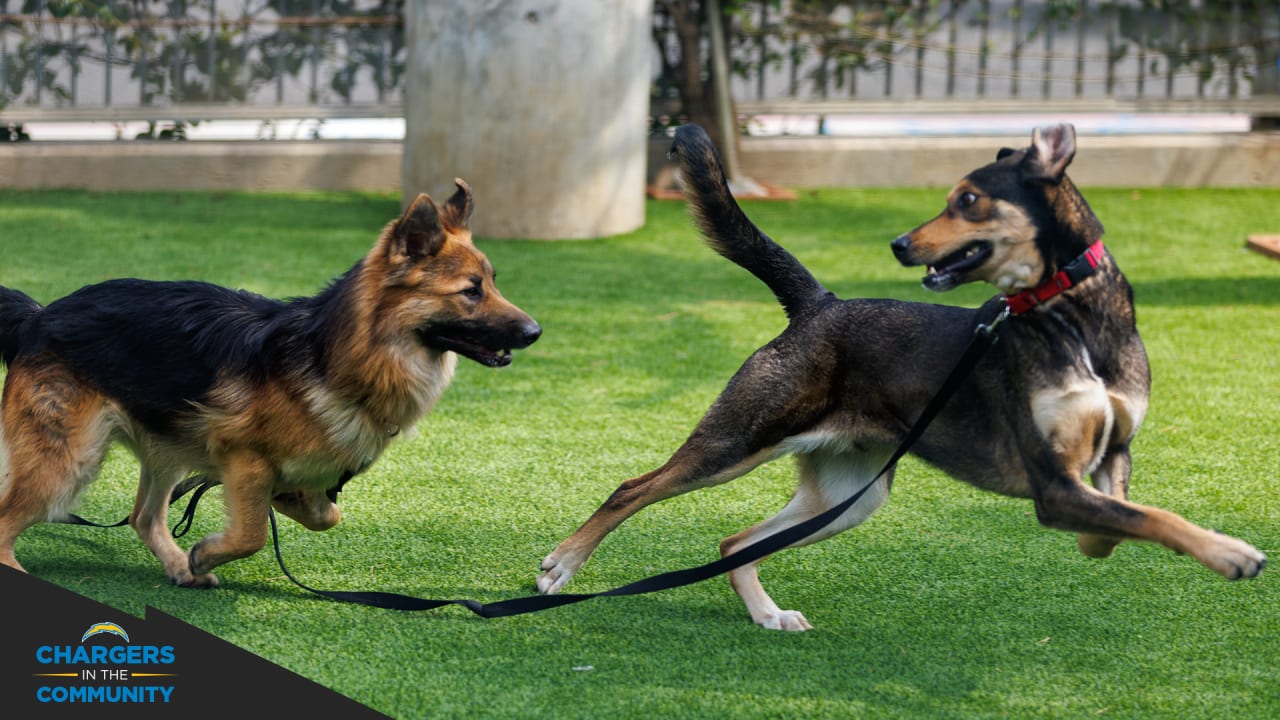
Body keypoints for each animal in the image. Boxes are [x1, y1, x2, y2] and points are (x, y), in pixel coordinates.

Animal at [0, 179, 540, 584]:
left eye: (493, 283)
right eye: (471, 291)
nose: (534, 331)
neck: (339, 359)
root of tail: (39, 316)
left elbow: (326, 515)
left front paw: (291, 502)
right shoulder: (243, 461)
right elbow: (253, 534)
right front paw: (211, 549)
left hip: (166, 447)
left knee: (144, 517)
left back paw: (178, 566)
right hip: (70, 458)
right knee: (8, 521)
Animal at [535, 122, 1264, 627]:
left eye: (967, 199)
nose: (899, 244)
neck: (1073, 318)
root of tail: (820, 304)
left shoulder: (1108, 461)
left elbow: (1119, 524)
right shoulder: (1053, 485)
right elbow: (1154, 515)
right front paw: (1230, 552)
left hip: (844, 495)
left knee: (732, 541)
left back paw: (766, 614)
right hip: (740, 439)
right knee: (632, 488)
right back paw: (562, 566)